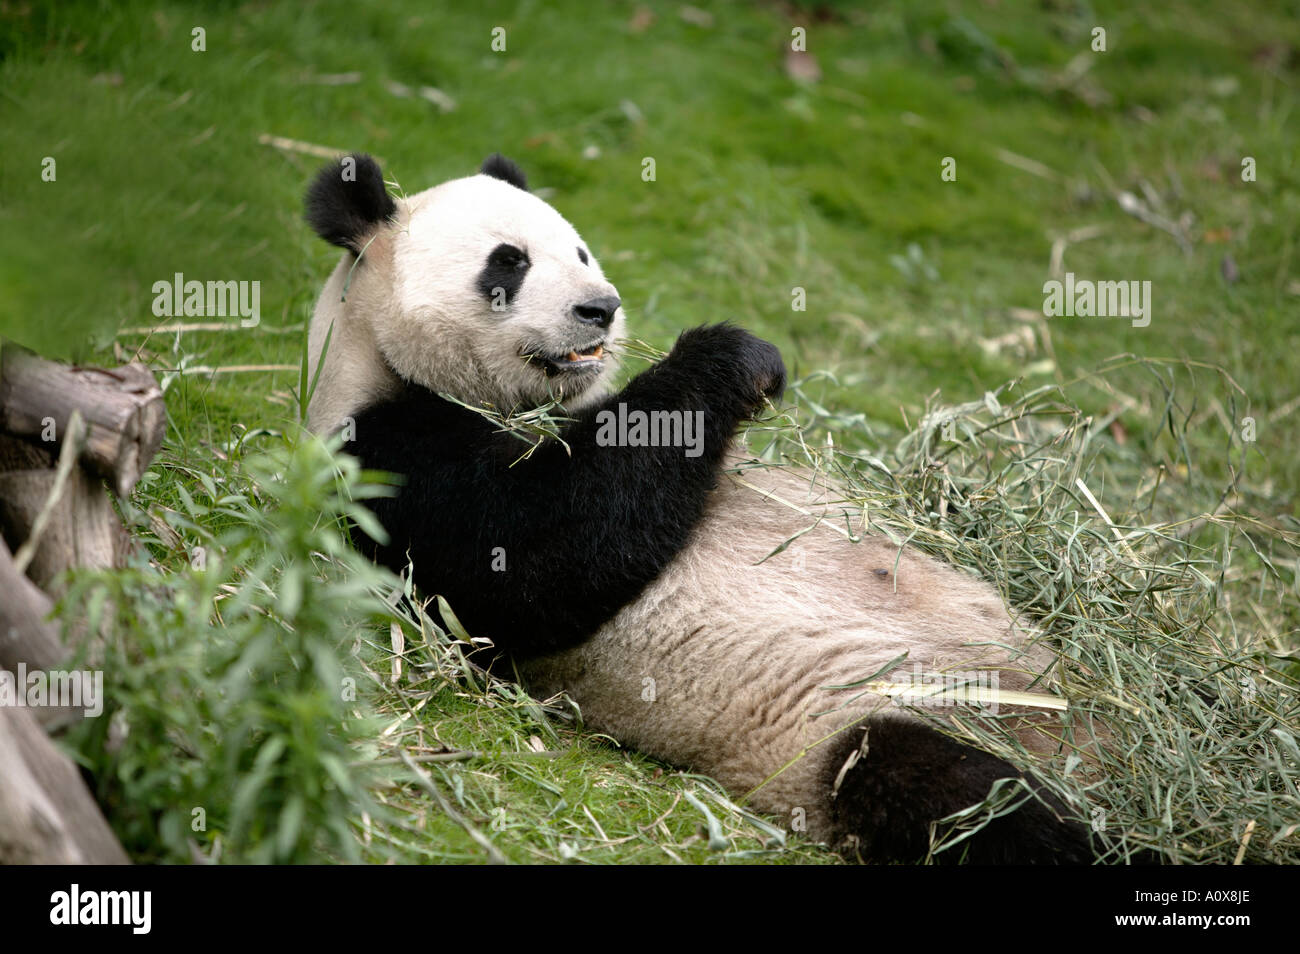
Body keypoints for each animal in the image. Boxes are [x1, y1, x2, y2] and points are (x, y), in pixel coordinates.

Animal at [303, 152, 1096, 864]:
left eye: (579, 250)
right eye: (509, 264)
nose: (600, 308)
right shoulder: (384, 458)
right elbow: (526, 551)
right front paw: (736, 358)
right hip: (859, 719)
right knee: (963, 795)